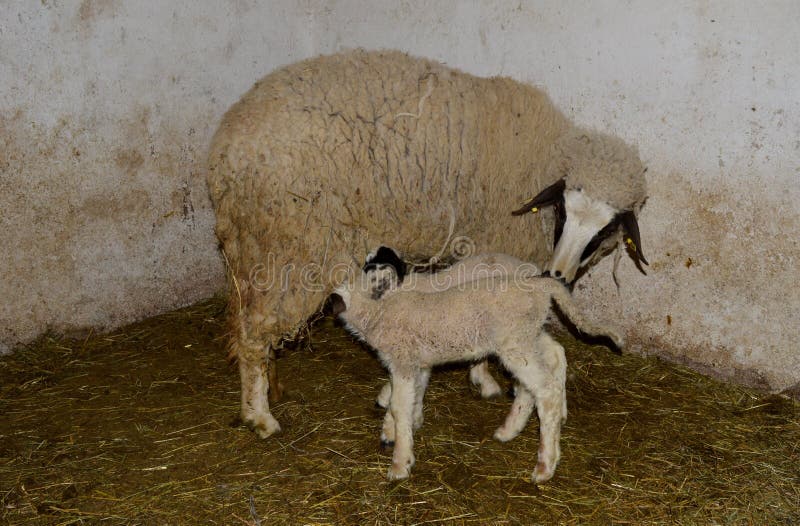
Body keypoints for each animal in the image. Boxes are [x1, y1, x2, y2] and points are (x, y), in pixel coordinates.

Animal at [206, 48, 648, 438]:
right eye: (562, 211)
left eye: (605, 230)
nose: (558, 275)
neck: (543, 158)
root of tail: (225, 151)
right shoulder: (490, 244)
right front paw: (482, 377)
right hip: (294, 246)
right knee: (253, 332)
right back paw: (259, 415)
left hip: (255, 249)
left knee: (248, 321)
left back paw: (271, 386)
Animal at [330, 263, 624, 481]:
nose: (330, 301)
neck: (380, 311)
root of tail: (540, 286)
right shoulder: (417, 363)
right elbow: (413, 396)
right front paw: (406, 427)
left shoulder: (402, 360)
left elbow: (398, 405)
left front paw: (400, 462)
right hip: (528, 335)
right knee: (553, 359)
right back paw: (514, 428)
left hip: (515, 341)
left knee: (545, 389)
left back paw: (545, 464)